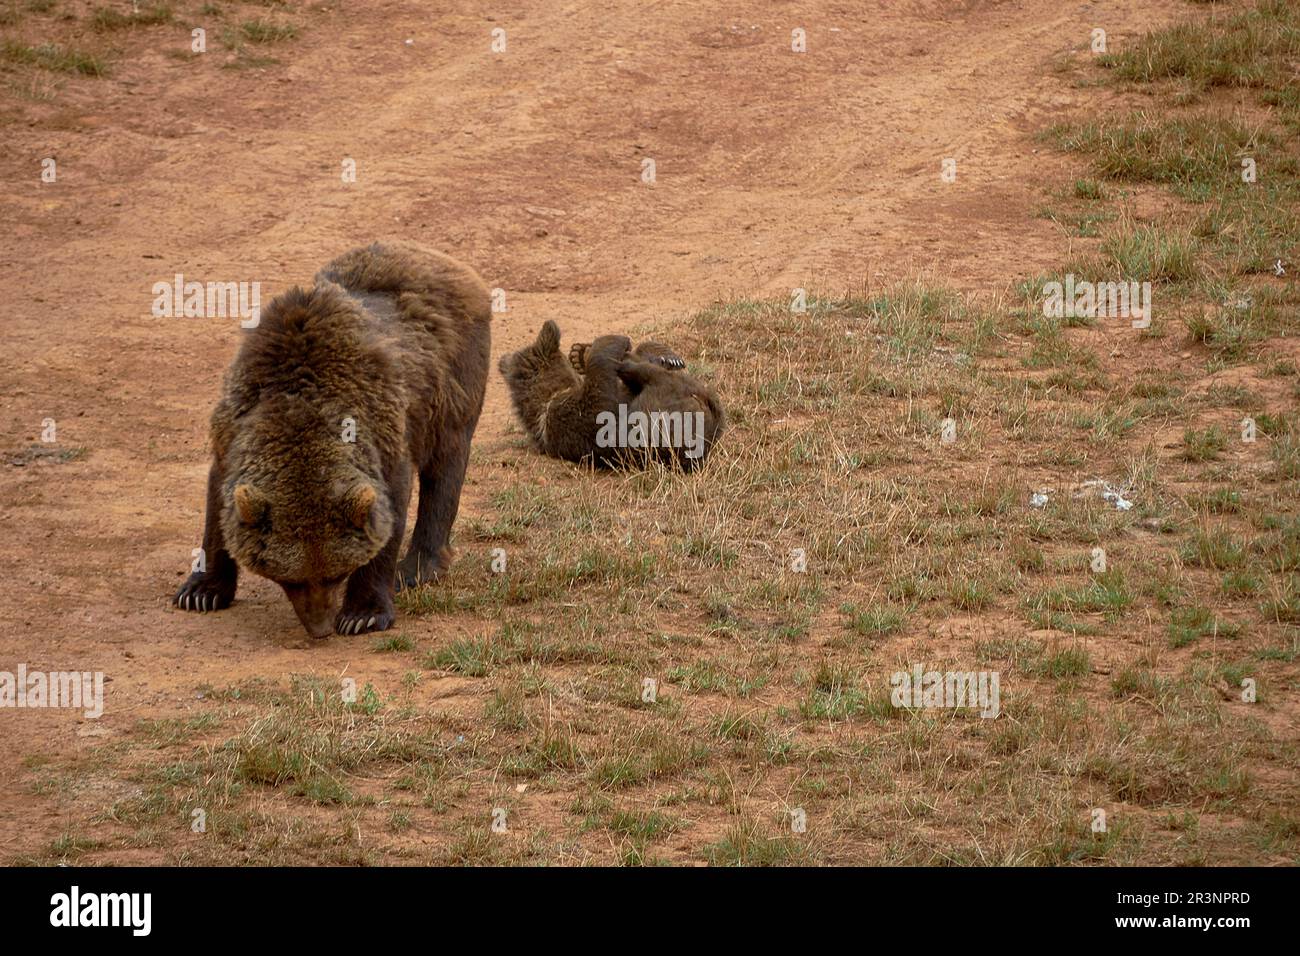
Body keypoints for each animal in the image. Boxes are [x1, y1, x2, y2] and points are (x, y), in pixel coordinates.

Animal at [171, 241, 491, 639]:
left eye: (335, 574)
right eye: (291, 579)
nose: (320, 628)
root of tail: (443, 260)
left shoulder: (382, 436)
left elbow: (388, 514)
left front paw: (363, 612)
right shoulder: (233, 430)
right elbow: (218, 505)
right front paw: (201, 591)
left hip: (451, 384)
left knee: (444, 468)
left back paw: (416, 567)